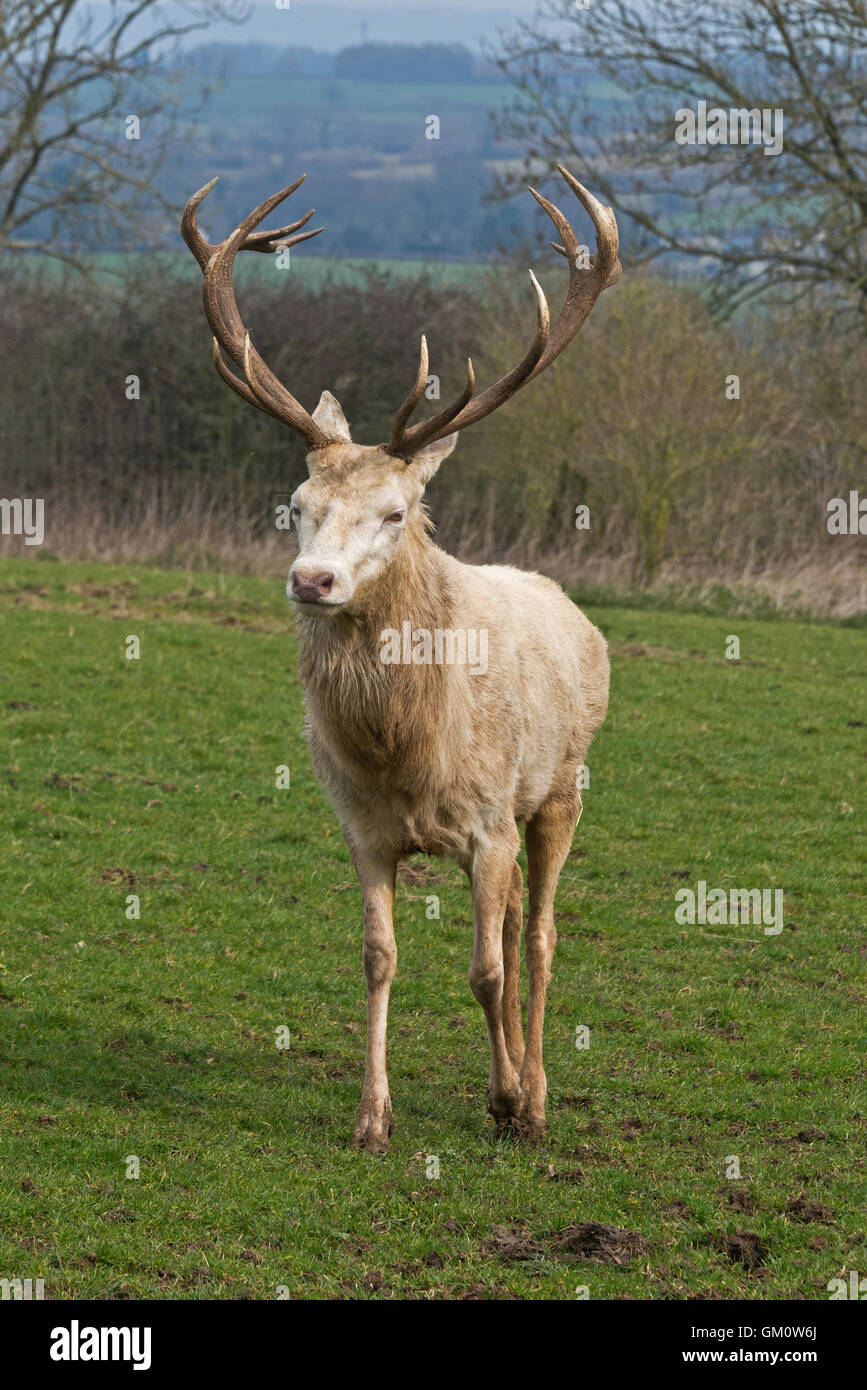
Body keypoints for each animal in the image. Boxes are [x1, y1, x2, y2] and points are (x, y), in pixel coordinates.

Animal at [181, 166, 620, 1153]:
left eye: (394, 512)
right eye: (298, 501)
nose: (312, 580)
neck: (405, 752)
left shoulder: (490, 822)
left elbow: (486, 971)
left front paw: (508, 1101)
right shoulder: (363, 828)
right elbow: (378, 957)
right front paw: (371, 1119)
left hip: (561, 787)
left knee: (538, 935)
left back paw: (536, 1095)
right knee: (511, 923)